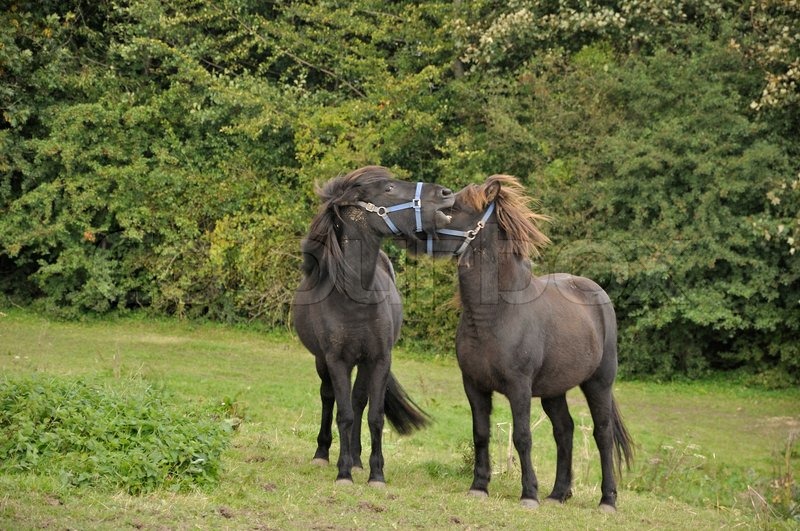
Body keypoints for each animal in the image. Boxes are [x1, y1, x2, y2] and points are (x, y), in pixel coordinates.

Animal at [292, 165, 455, 486]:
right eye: (389, 189)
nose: (446, 194)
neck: (353, 297)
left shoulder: (378, 359)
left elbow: (374, 415)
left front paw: (375, 473)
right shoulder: (337, 360)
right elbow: (343, 413)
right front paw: (343, 472)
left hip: (363, 363)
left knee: (358, 401)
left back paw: (356, 460)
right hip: (322, 361)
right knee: (328, 397)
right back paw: (322, 454)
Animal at [422, 174, 633, 511]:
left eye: (454, 208)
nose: (417, 233)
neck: (497, 313)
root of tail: (596, 292)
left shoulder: (519, 387)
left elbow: (522, 437)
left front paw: (529, 494)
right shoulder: (473, 385)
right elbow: (480, 433)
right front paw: (479, 486)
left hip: (599, 383)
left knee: (602, 433)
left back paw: (607, 500)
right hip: (554, 390)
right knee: (565, 431)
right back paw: (558, 494)